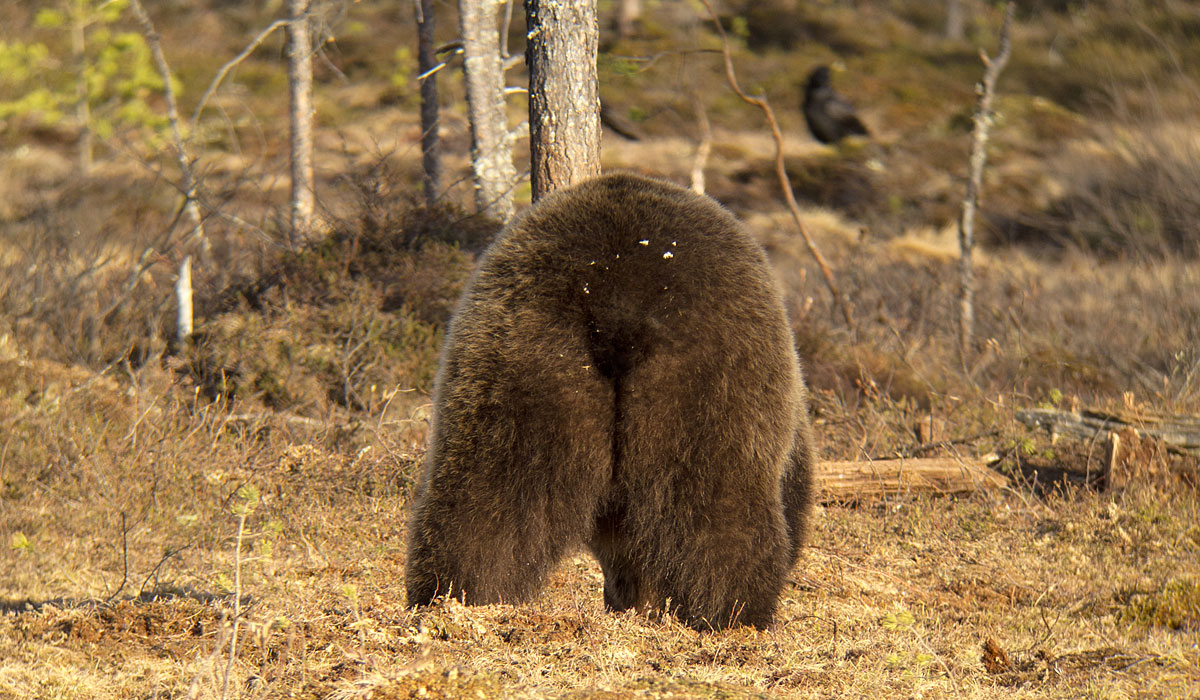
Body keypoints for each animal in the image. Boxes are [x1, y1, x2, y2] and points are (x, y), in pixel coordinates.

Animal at [404, 173, 816, 630]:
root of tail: (616, 297)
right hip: (713, 365)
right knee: (715, 497)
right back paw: (734, 612)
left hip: (521, 359)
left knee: (488, 494)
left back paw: (456, 595)